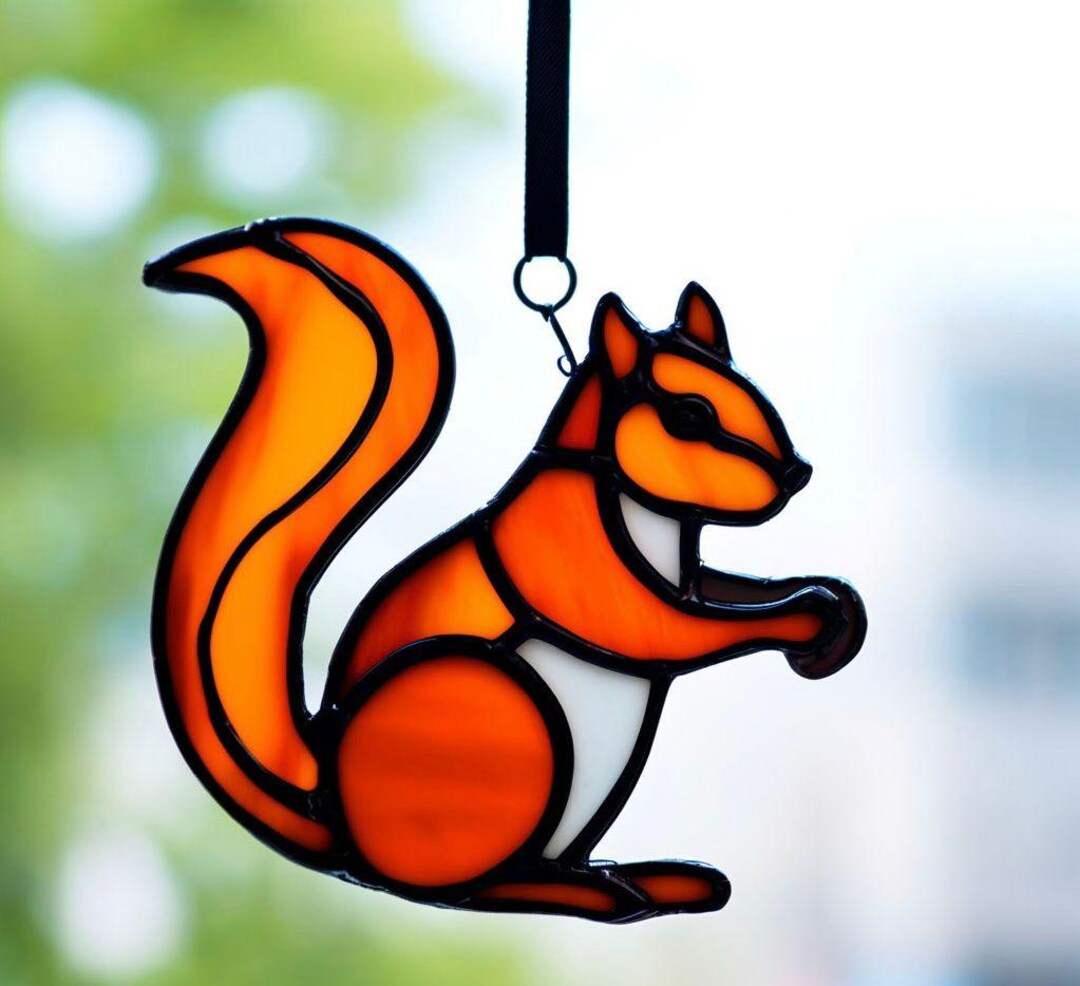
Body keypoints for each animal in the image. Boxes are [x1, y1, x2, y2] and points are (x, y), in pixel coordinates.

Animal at [145, 217, 866, 923]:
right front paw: (801, 618)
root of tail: (335, 828)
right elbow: (676, 628)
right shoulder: (576, 569)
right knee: (477, 886)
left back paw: (651, 881)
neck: (637, 505)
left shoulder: (686, 573)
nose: (796, 473)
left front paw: (830, 600)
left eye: (752, 393)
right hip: (500, 718)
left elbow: (719, 589)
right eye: (691, 415)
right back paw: (597, 891)